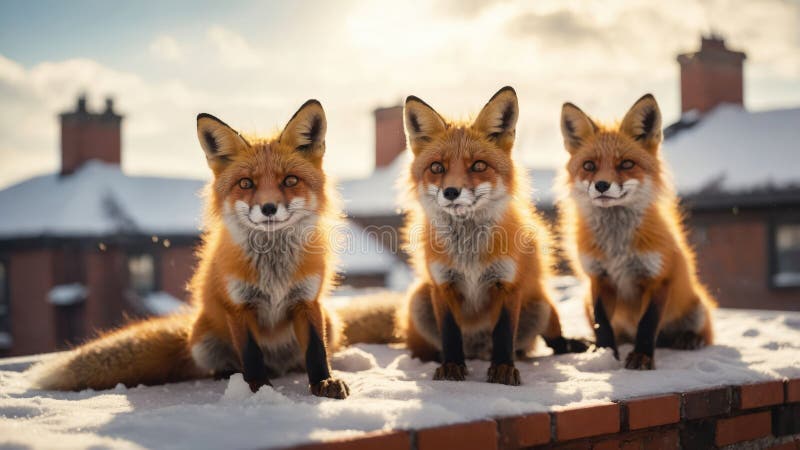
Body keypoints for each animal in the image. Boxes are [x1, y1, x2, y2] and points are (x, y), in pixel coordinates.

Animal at [28, 100, 399, 398]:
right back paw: (231, 375)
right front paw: (257, 389)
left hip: (330, 321)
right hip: (204, 342)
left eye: (290, 180)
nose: (268, 208)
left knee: (303, 356)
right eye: (246, 184)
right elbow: (251, 355)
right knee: (222, 365)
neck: (274, 271)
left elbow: (316, 353)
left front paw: (323, 383)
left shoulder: (307, 302)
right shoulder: (238, 307)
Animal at [401, 86, 590, 386]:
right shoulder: (443, 285)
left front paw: (503, 369)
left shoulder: (508, 284)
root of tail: (478, 350)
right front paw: (451, 366)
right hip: (418, 299)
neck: (469, 253)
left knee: (551, 339)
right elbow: (450, 333)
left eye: (478, 166)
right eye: (437, 168)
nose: (451, 192)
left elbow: (504, 333)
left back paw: (569, 344)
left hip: (542, 303)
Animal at [558, 94, 716, 370]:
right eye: (589, 165)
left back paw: (688, 339)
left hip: (698, 309)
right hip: (585, 301)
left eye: (626, 164)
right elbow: (602, 324)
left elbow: (647, 323)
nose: (602, 185)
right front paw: (605, 354)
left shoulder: (657, 278)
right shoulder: (599, 278)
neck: (616, 246)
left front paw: (642, 356)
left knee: (701, 334)